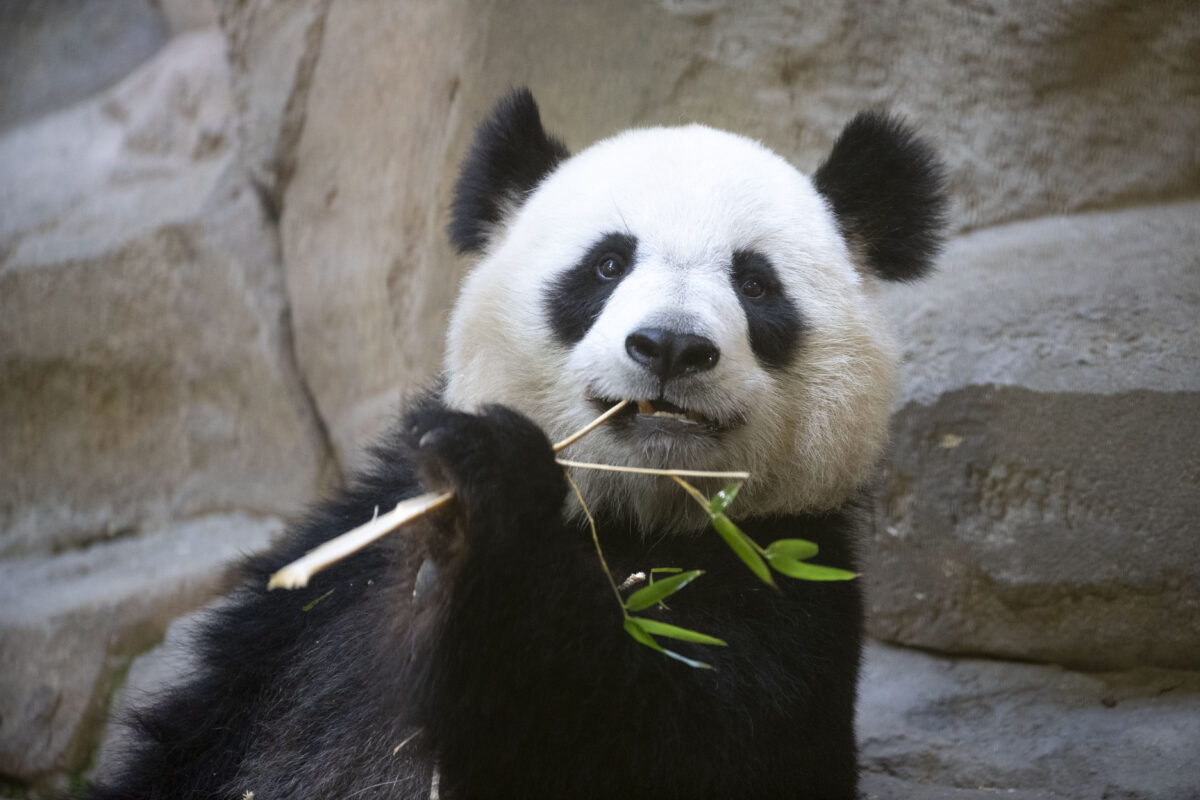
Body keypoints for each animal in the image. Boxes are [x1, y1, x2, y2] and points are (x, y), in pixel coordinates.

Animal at [84, 88, 944, 800]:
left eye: (756, 284)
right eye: (607, 263)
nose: (670, 346)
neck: (624, 514)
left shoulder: (782, 586)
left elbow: (636, 734)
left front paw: (484, 516)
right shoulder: (321, 590)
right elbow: (196, 737)